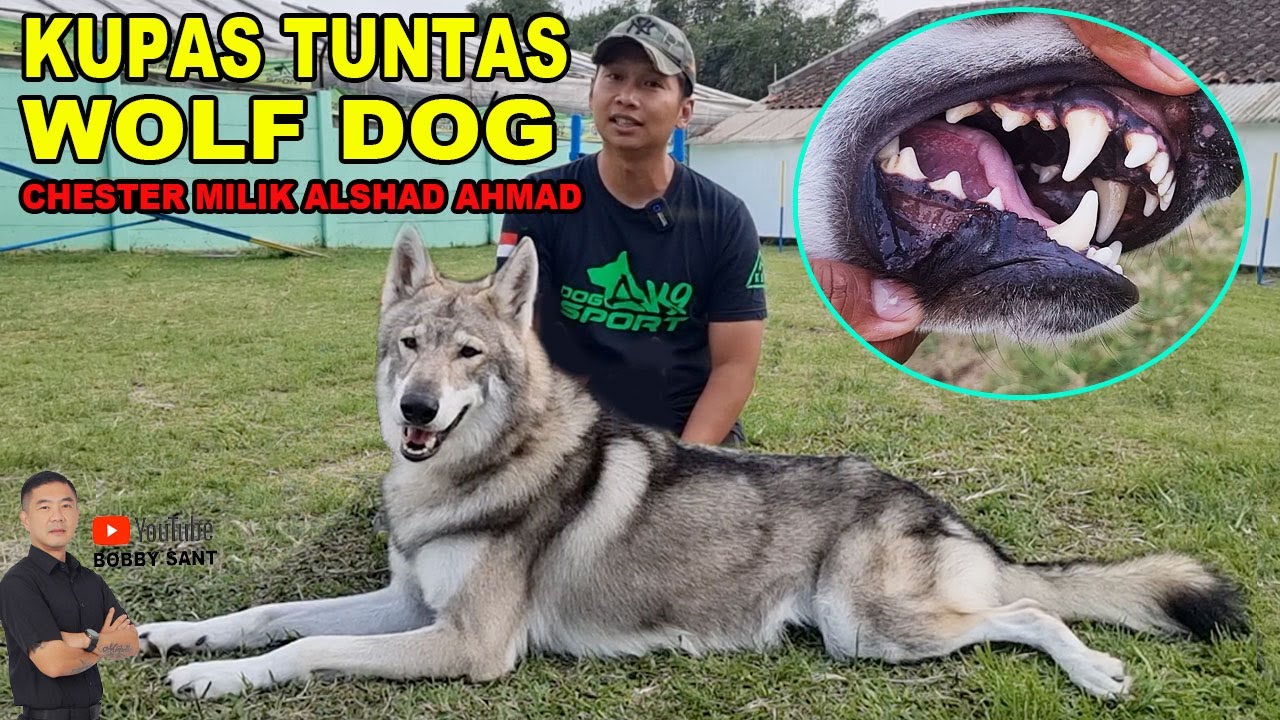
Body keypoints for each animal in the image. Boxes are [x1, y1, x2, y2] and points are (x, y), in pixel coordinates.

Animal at [135, 226, 1246, 701]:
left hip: (869, 631)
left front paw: (219, 678)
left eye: (470, 356)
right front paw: (177, 636)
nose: (416, 409)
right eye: (410, 345)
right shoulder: (410, 603)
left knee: (1029, 613)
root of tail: (937, 508)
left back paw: (1097, 670)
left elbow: (305, 648)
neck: (466, 474)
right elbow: (271, 613)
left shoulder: (470, 644)